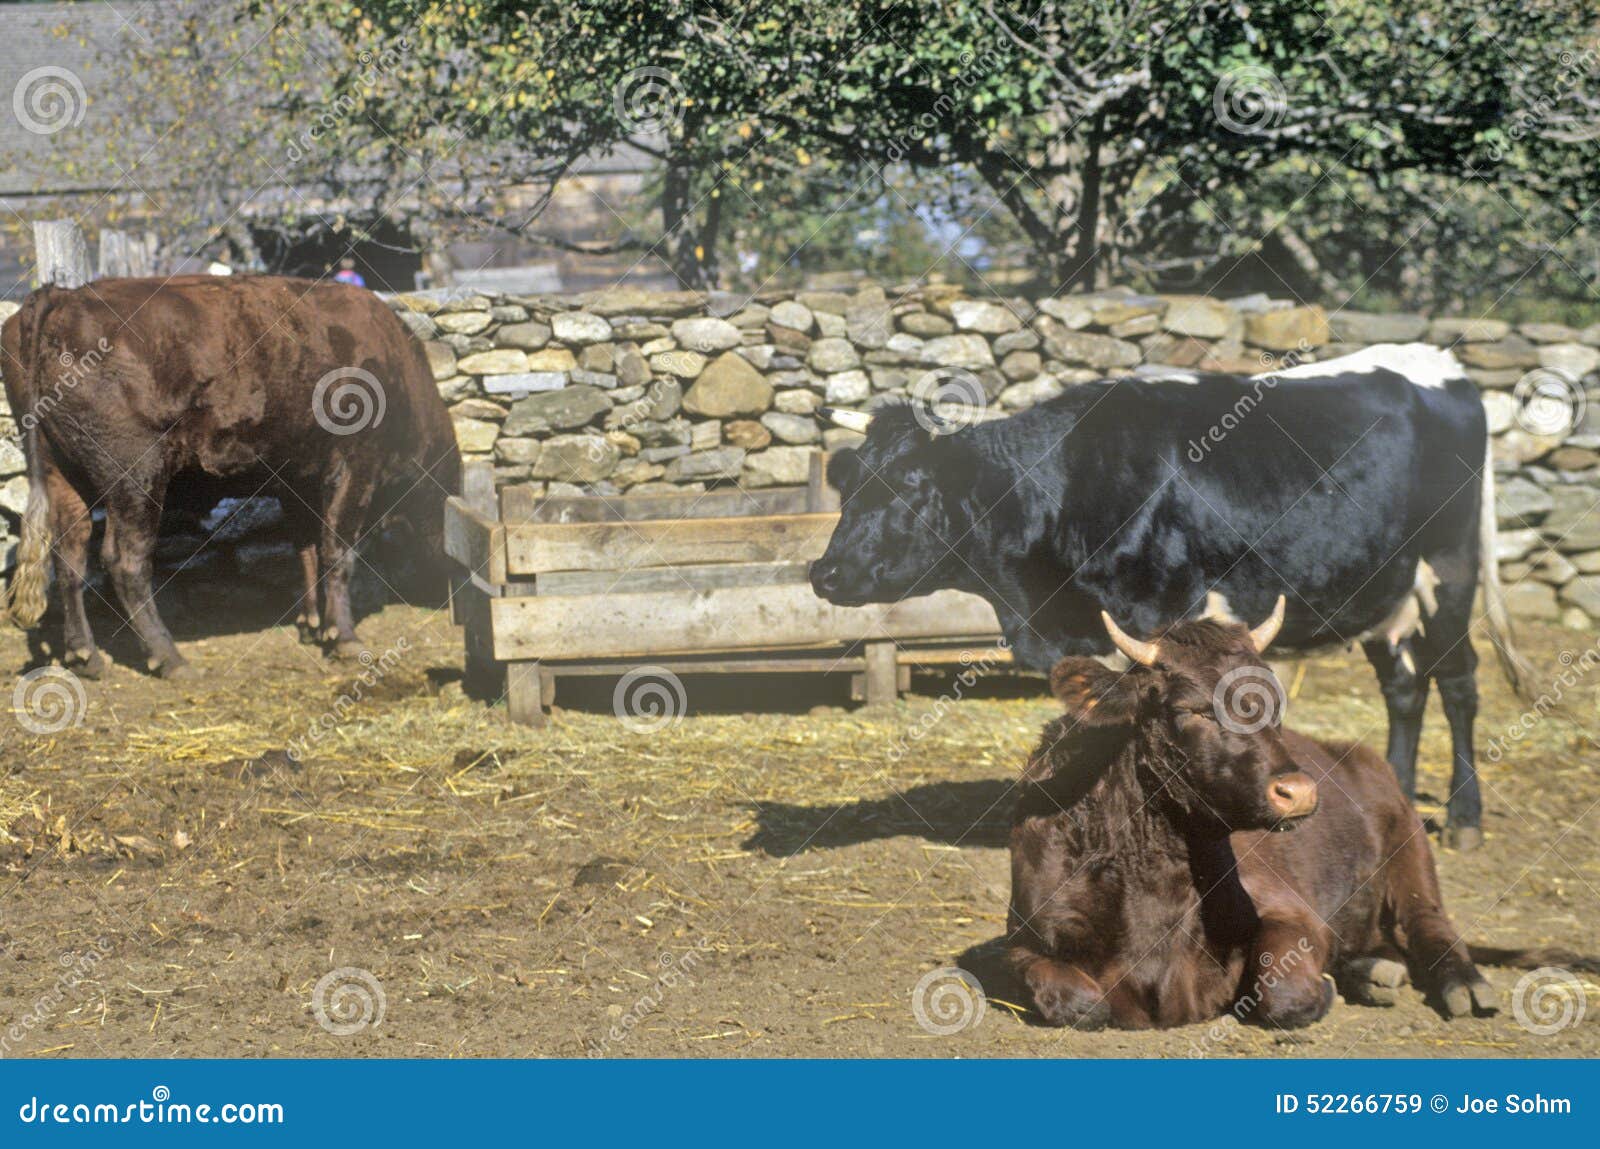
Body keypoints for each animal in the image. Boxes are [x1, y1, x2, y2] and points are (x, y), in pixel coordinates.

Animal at [2, 275, 461, 679]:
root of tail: (63, 295)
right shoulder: (355, 466)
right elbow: (338, 551)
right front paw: (343, 637)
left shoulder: (299, 480)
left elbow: (307, 548)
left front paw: (312, 624)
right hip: (136, 477)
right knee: (125, 561)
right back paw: (170, 658)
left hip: (62, 476)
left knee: (69, 557)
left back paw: (85, 656)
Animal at [810, 344, 1536, 849]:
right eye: (851, 484)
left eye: (910, 486)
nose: (824, 572)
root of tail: (1441, 363)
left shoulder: (1155, 617)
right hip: (1380, 592)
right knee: (1405, 688)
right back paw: (1395, 797)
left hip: (1449, 572)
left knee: (1459, 682)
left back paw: (1464, 819)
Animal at [1007, 601, 1503, 1029]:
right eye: (1192, 710)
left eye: (1275, 705)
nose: (1298, 791)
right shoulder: (1021, 939)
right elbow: (1080, 1003)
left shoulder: (1292, 911)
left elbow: (1282, 991)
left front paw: (1324, 988)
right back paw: (1372, 971)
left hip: (1411, 850)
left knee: (1429, 923)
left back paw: (1465, 985)